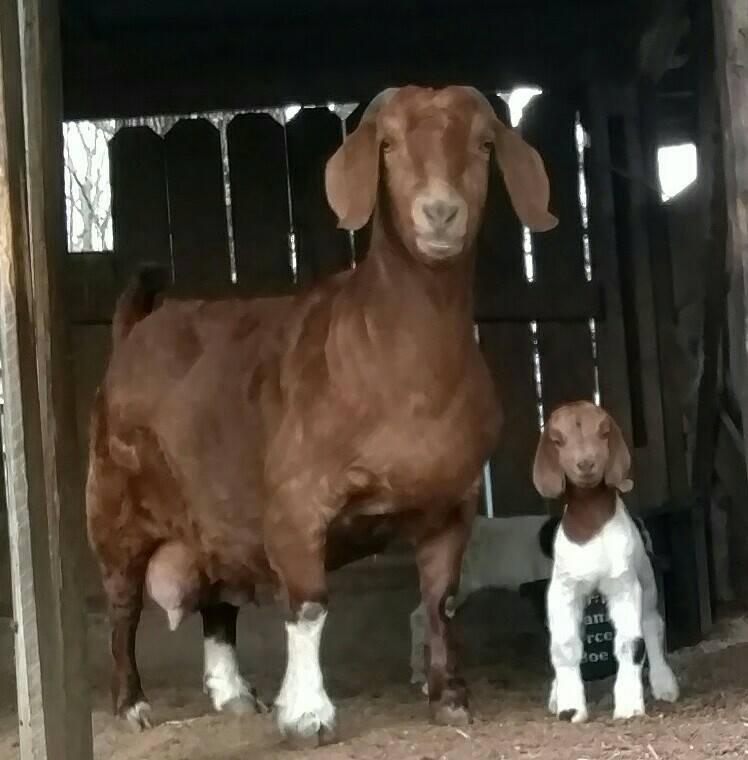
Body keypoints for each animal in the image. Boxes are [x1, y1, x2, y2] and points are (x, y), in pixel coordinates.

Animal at [532, 401, 679, 723]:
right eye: (557, 440)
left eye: (603, 432)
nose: (586, 464)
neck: (590, 522)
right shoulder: (564, 590)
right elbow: (563, 645)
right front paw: (570, 708)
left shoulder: (624, 585)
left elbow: (631, 642)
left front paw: (629, 706)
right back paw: (556, 695)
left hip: (646, 580)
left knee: (651, 624)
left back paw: (665, 684)